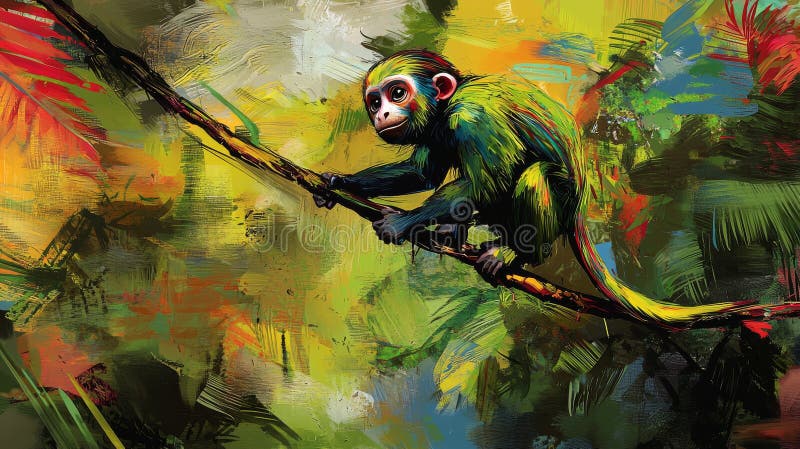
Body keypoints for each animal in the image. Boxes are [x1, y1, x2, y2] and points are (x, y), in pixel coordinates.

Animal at [314, 49, 751, 325]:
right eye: (374, 101)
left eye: (397, 92)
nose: (382, 113)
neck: (446, 106)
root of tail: (579, 209)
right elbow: (424, 176)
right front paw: (340, 182)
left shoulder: (473, 117)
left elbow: (491, 183)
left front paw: (403, 223)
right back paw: (456, 232)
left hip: (558, 207)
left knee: (533, 174)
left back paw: (520, 253)